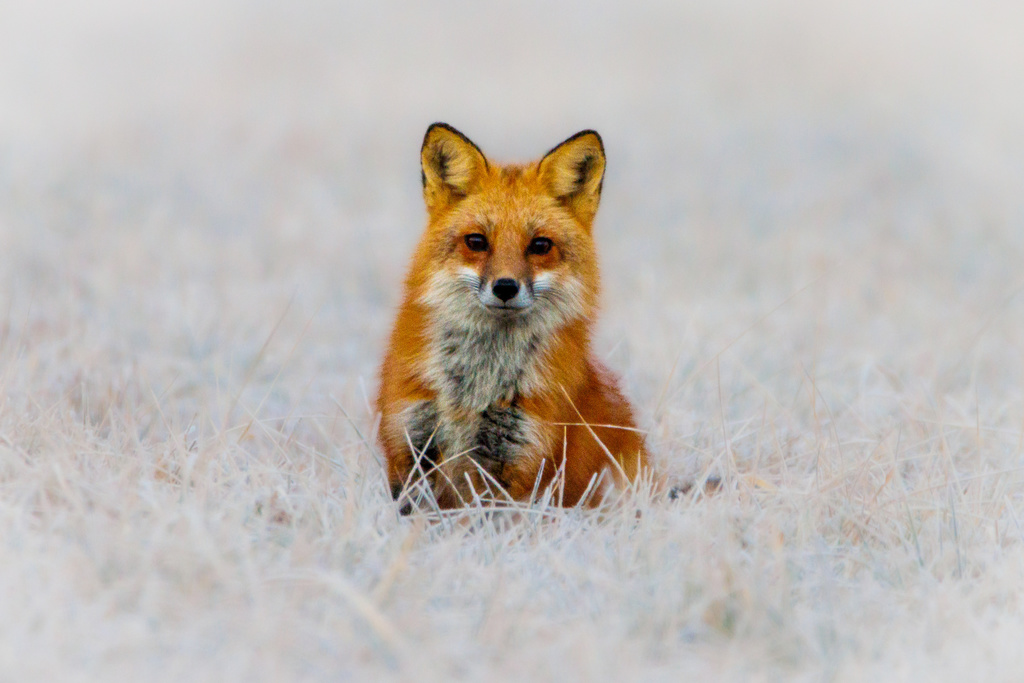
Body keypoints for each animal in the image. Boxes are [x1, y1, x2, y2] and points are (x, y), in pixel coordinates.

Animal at [376, 123, 651, 512]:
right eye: (476, 241)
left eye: (540, 246)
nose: (505, 287)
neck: (476, 388)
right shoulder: (409, 446)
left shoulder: (520, 463)